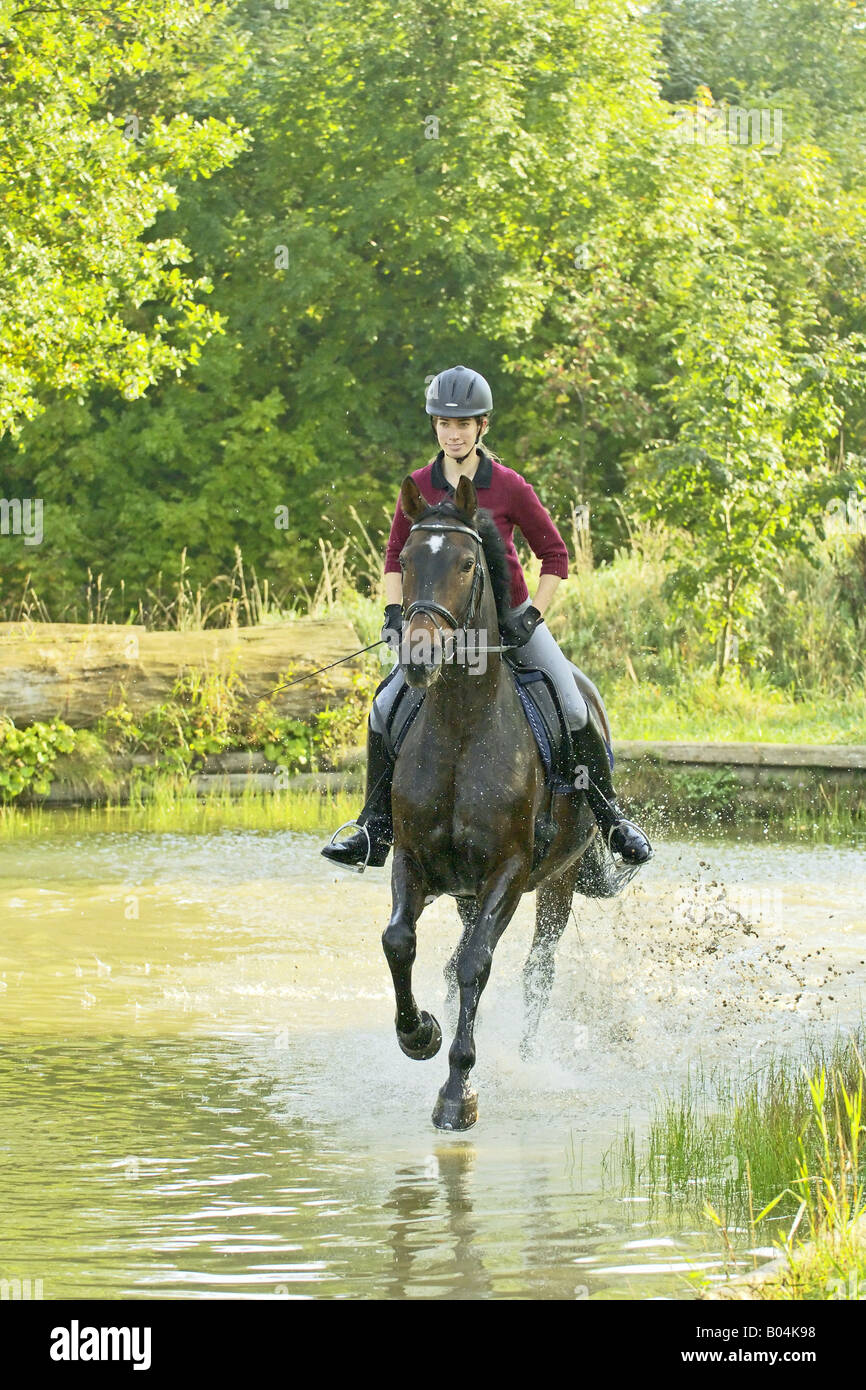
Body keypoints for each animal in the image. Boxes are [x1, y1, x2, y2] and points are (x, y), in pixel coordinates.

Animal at [381, 473, 600, 1130]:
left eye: (466, 563)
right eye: (406, 559)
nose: (420, 657)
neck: (460, 725)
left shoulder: (509, 870)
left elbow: (479, 962)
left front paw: (458, 1093)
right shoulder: (414, 860)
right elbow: (400, 942)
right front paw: (419, 1034)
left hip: (558, 881)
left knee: (536, 973)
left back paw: (526, 1061)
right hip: (464, 893)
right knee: (453, 961)